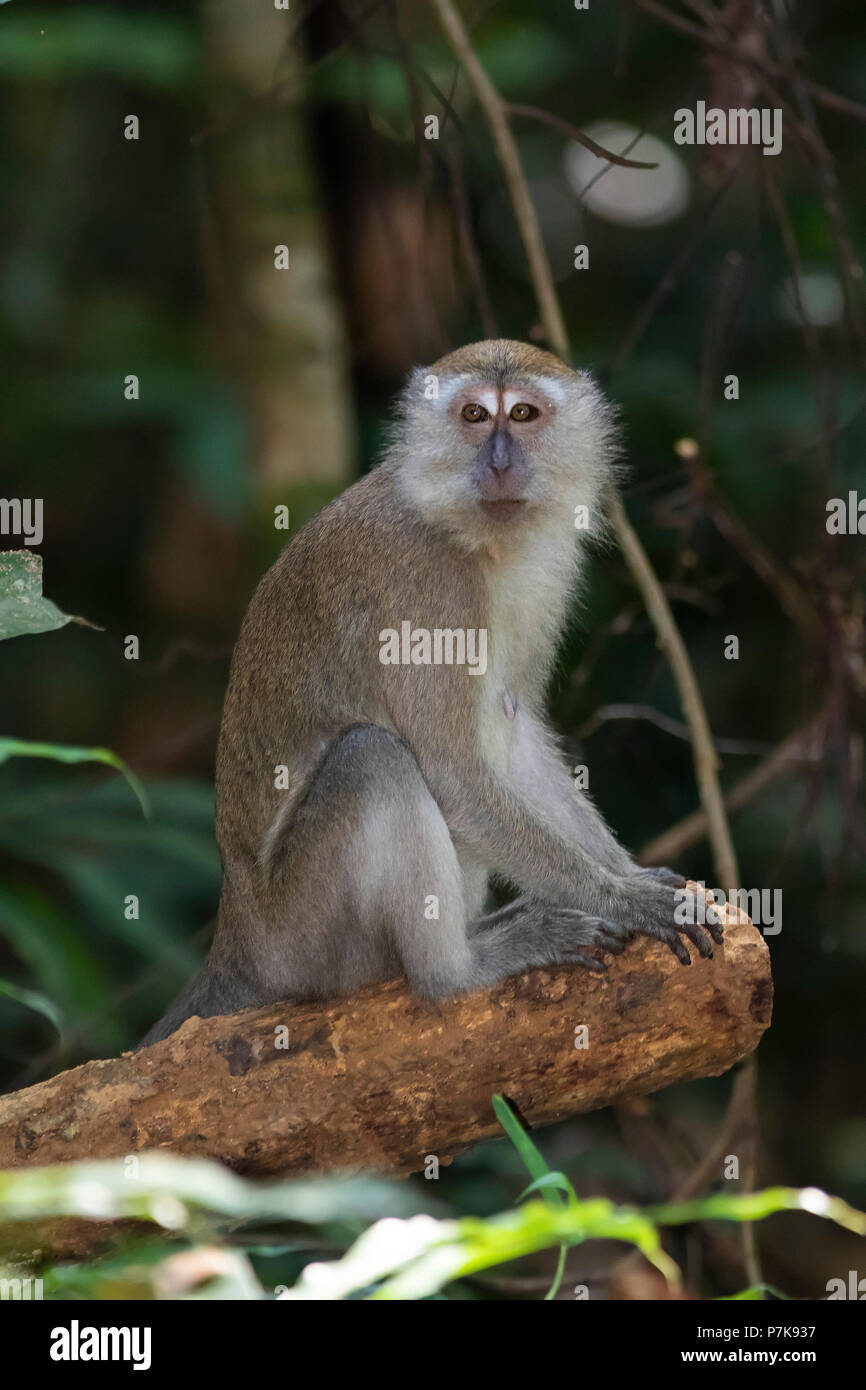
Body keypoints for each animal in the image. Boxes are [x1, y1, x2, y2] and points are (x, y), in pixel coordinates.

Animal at [140, 339, 722, 1047]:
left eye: (522, 414)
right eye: (473, 414)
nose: (499, 463)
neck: (469, 530)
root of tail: (237, 943)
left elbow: (513, 730)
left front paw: (628, 872)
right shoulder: (431, 593)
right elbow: (453, 768)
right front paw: (626, 898)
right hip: (306, 941)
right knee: (373, 758)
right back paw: (457, 971)